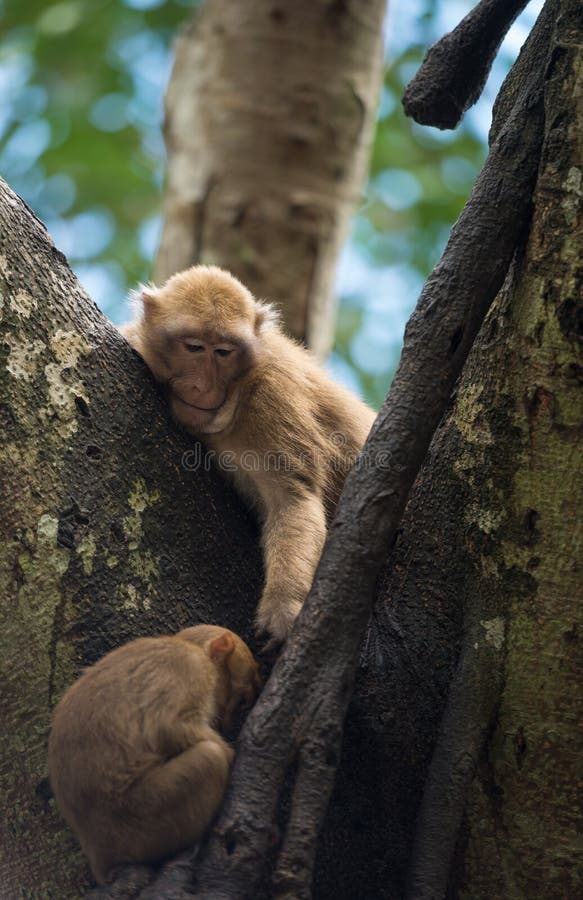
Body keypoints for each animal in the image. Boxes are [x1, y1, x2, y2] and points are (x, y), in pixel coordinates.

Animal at [48, 625, 260, 884]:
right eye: (242, 701)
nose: (228, 725)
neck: (192, 647)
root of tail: (97, 854)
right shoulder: (188, 667)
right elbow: (166, 727)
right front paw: (232, 752)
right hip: (143, 818)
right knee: (210, 757)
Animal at [121, 266, 376, 642]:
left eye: (223, 352)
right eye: (194, 347)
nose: (202, 386)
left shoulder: (273, 395)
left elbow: (292, 500)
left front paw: (284, 606)